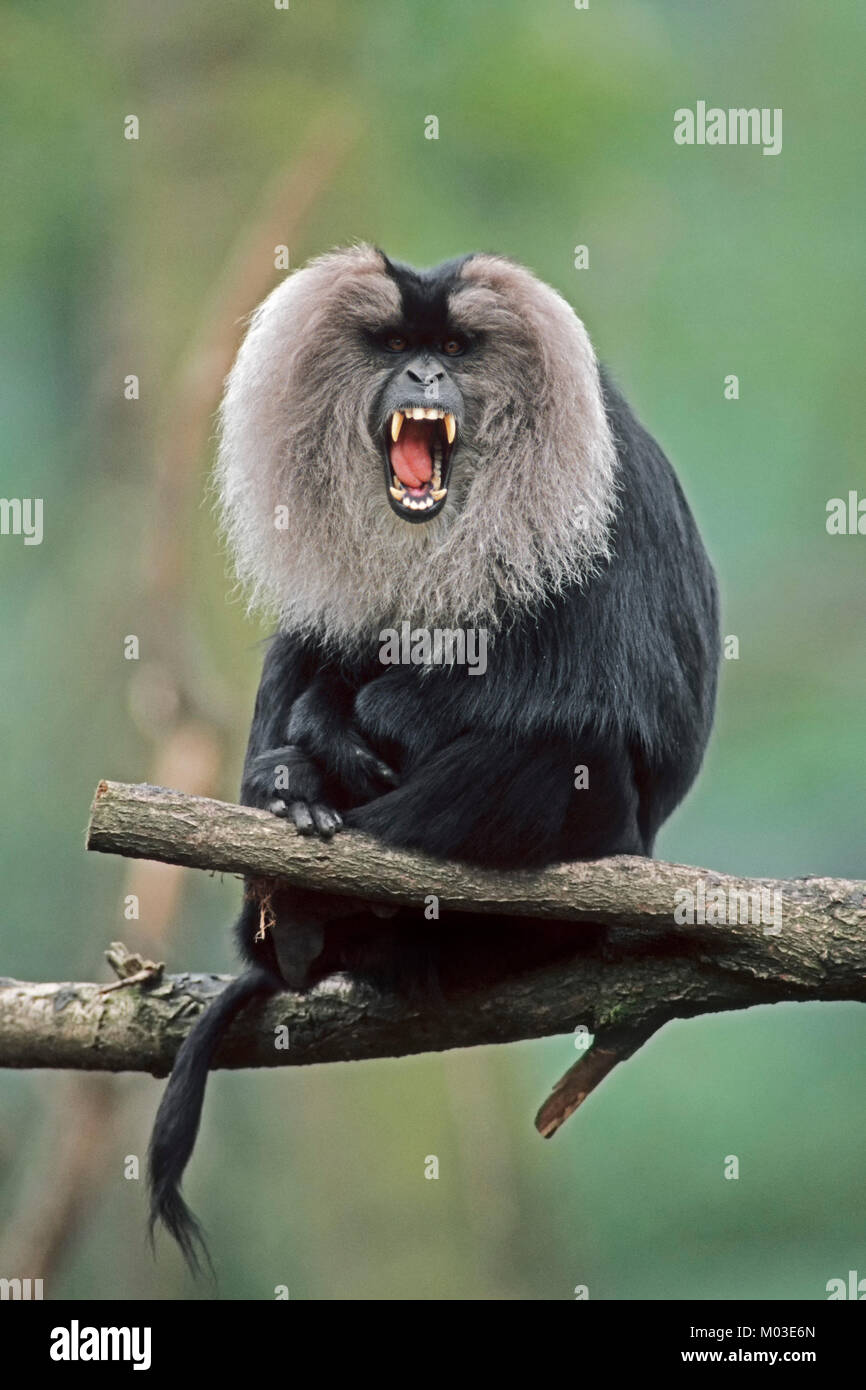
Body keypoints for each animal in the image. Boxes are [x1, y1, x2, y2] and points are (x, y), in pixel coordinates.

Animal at [148, 245, 719, 1271]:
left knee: (568, 751)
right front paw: (302, 759)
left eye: (453, 349)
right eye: (392, 345)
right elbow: (315, 651)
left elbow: (622, 694)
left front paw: (346, 731)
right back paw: (291, 864)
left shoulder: (610, 483)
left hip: (604, 841)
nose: (421, 378)